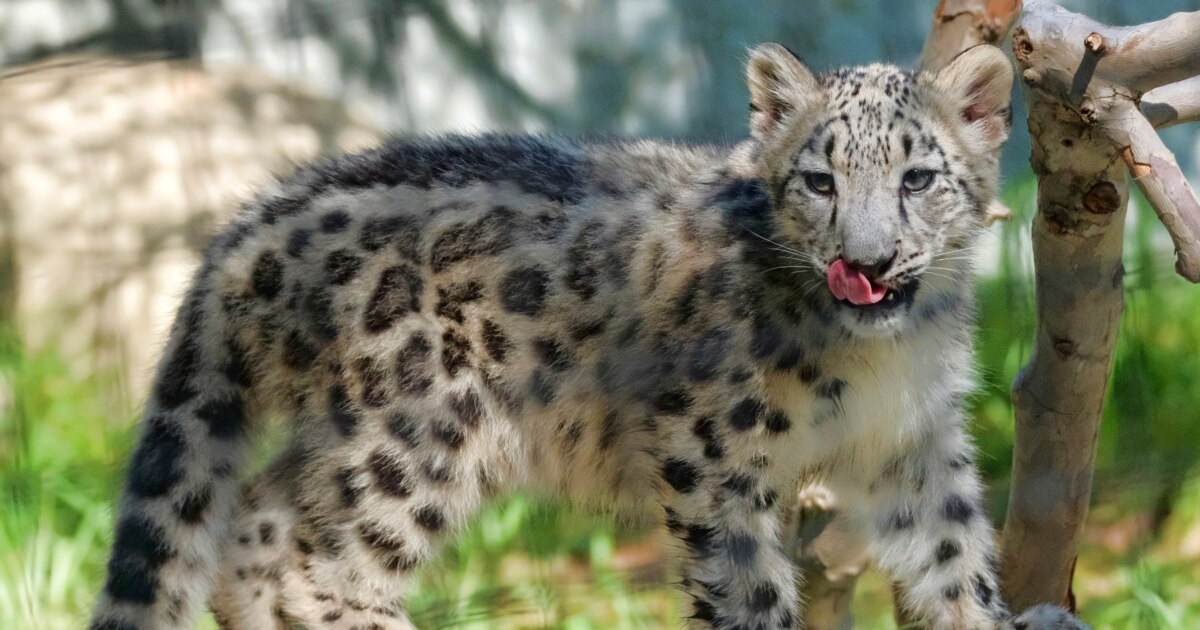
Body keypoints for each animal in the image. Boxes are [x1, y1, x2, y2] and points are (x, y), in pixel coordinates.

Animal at [90, 43, 1089, 630]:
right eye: (820, 179)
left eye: (919, 177)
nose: (867, 262)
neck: (883, 354)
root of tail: (254, 221)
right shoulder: (712, 451)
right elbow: (748, 582)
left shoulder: (914, 444)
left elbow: (955, 557)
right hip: (418, 434)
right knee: (317, 560)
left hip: (349, 437)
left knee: (255, 527)